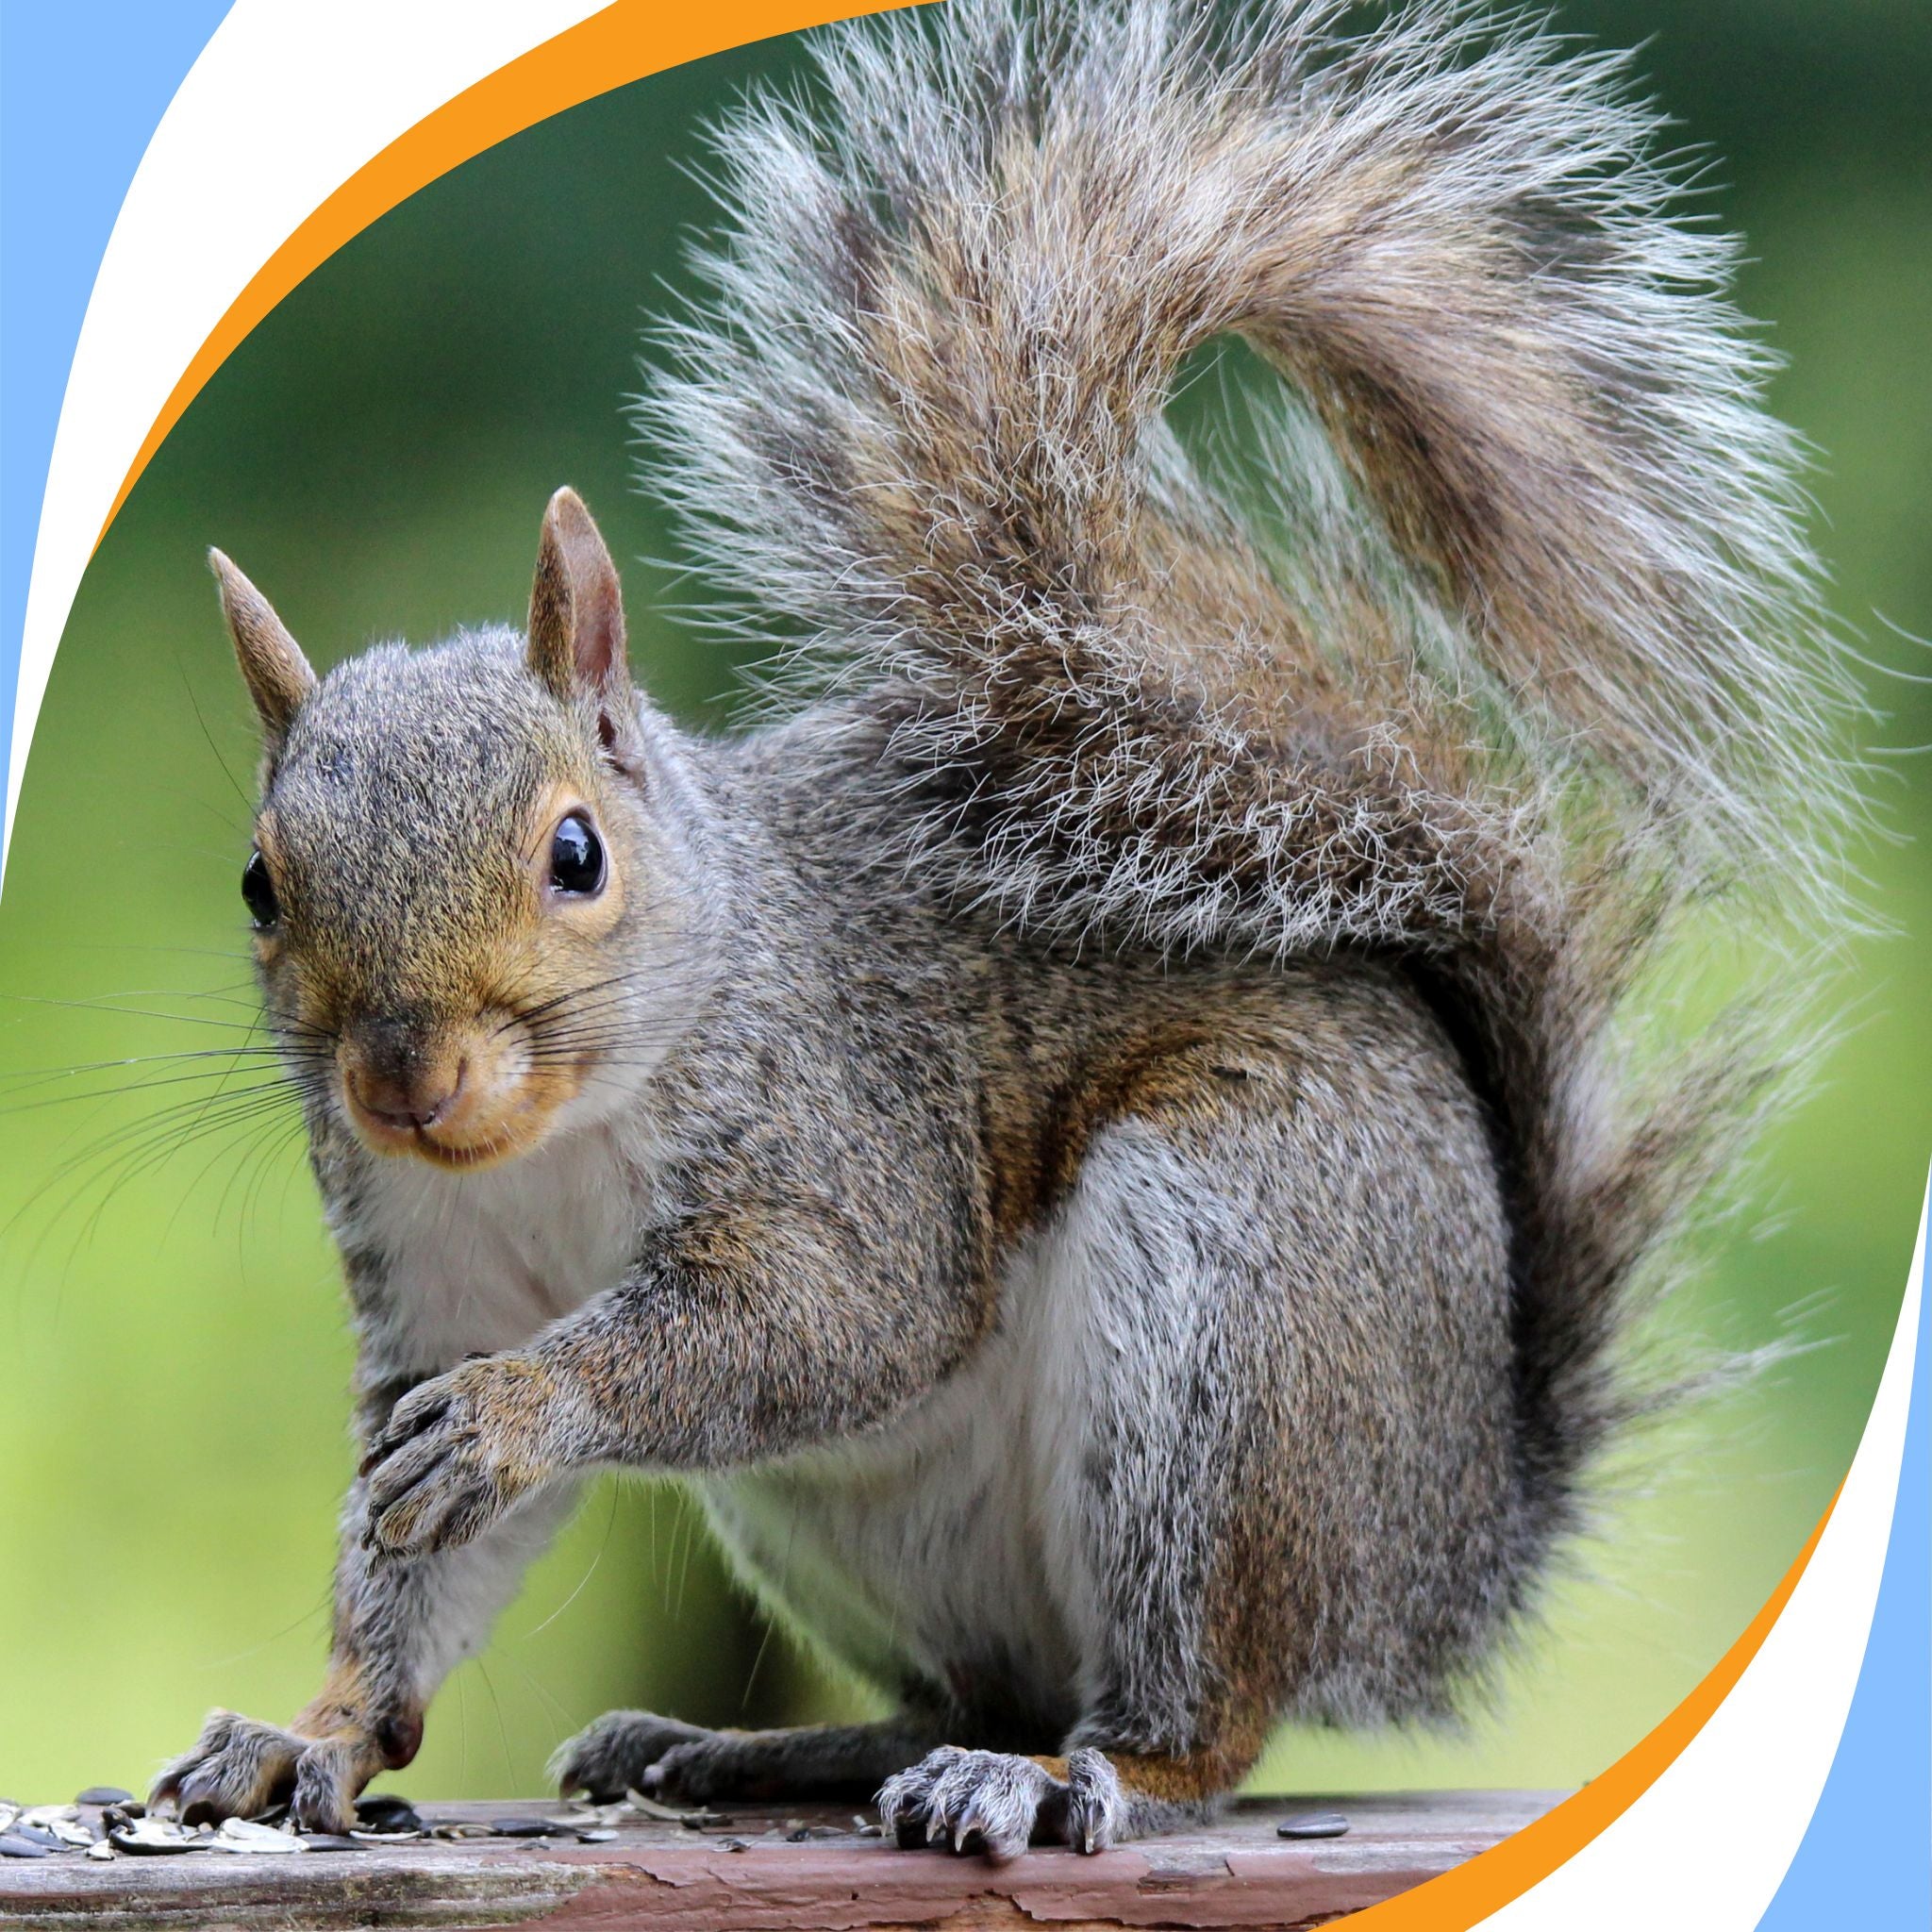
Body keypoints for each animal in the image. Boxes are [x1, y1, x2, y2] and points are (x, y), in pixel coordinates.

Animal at [151, 0, 1854, 1857]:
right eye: (259, 884)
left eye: (576, 854)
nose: (404, 1081)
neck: (560, 1134)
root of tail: (1451, 1545)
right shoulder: (429, 1273)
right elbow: (411, 1559)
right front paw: (305, 1736)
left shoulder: (846, 1123)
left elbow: (828, 1317)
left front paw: (529, 1410)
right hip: (861, 1524)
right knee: (981, 1685)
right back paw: (760, 1749)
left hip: (1230, 1316)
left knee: (1190, 1713)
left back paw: (1056, 1777)